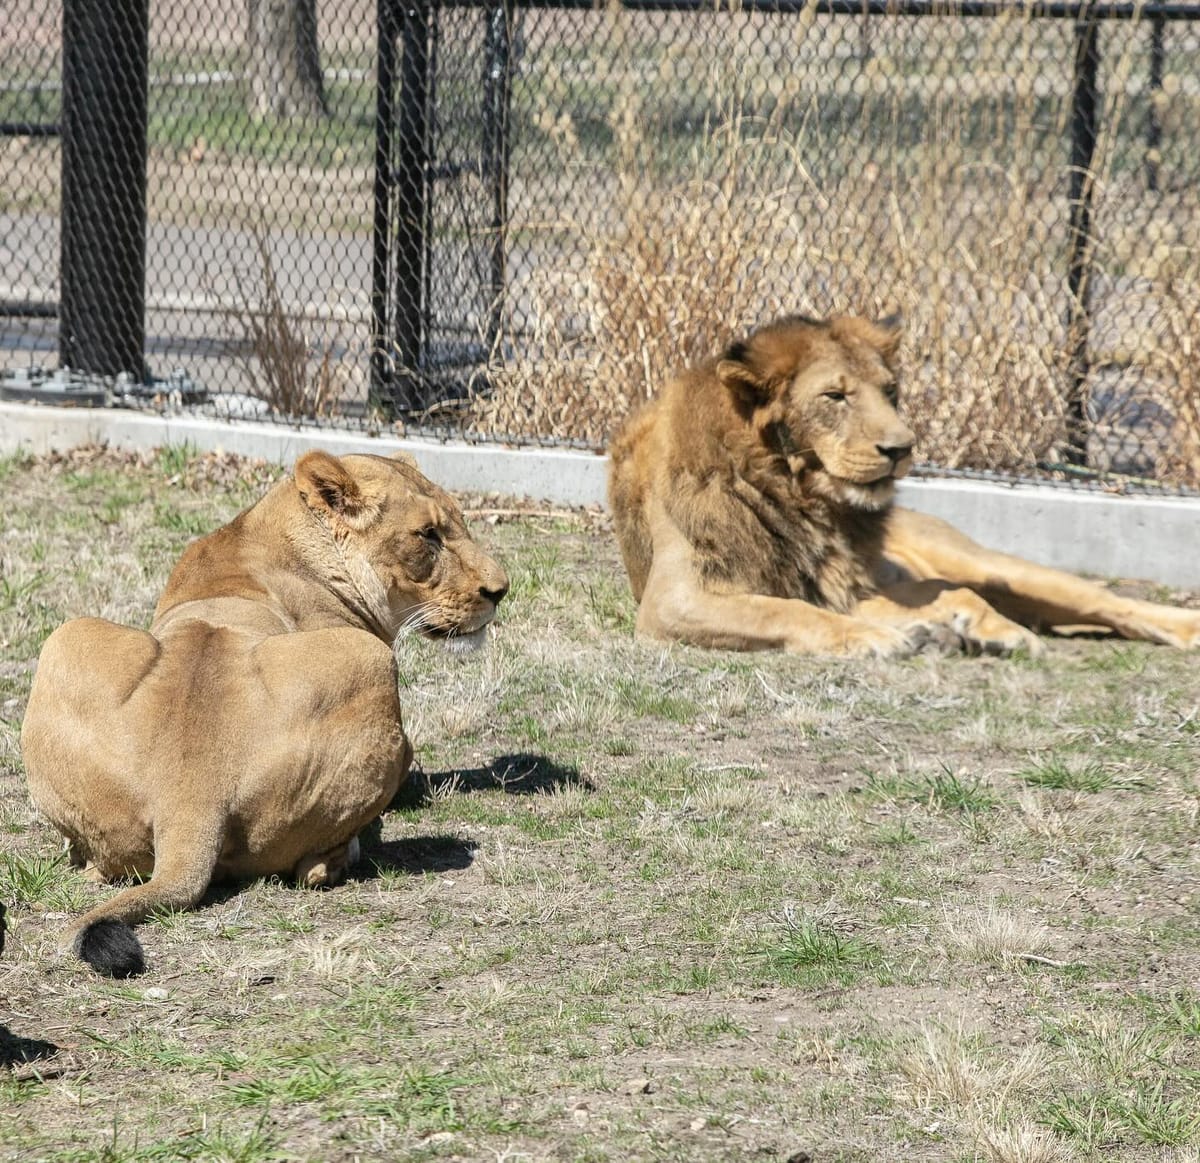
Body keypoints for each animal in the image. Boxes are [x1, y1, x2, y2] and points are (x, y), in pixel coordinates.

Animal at [21, 450, 509, 977]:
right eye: (428, 535)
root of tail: (190, 796)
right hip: (371, 662)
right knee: (312, 867)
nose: (501, 590)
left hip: (65, 637)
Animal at [608, 313, 1200, 658]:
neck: (808, 500)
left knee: (1108, 603)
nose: (901, 448)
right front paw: (878, 637)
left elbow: (796, 607)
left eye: (889, 391)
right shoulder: (672, 599)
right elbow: (786, 609)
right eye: (835, 396)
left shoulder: (856, 583)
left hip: (990, 564)